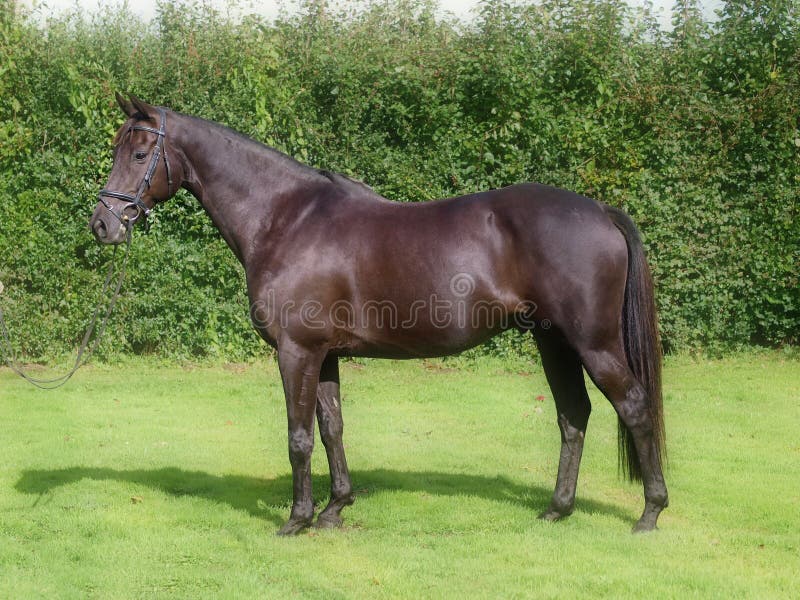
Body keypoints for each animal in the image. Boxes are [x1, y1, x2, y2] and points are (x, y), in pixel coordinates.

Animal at [90, 94, 668, 535]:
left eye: (139, 152)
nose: (103, 225)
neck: (286, 218)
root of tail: (601, 212)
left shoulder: (296, 352)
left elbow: (299, 437)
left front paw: (297, 519)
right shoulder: (324, 355)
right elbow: (332, 429)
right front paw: (335, 509)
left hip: (593, 343)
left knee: (635, 407)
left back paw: (649, 513)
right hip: (555, 342)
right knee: (574, 415)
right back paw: (556, 510)